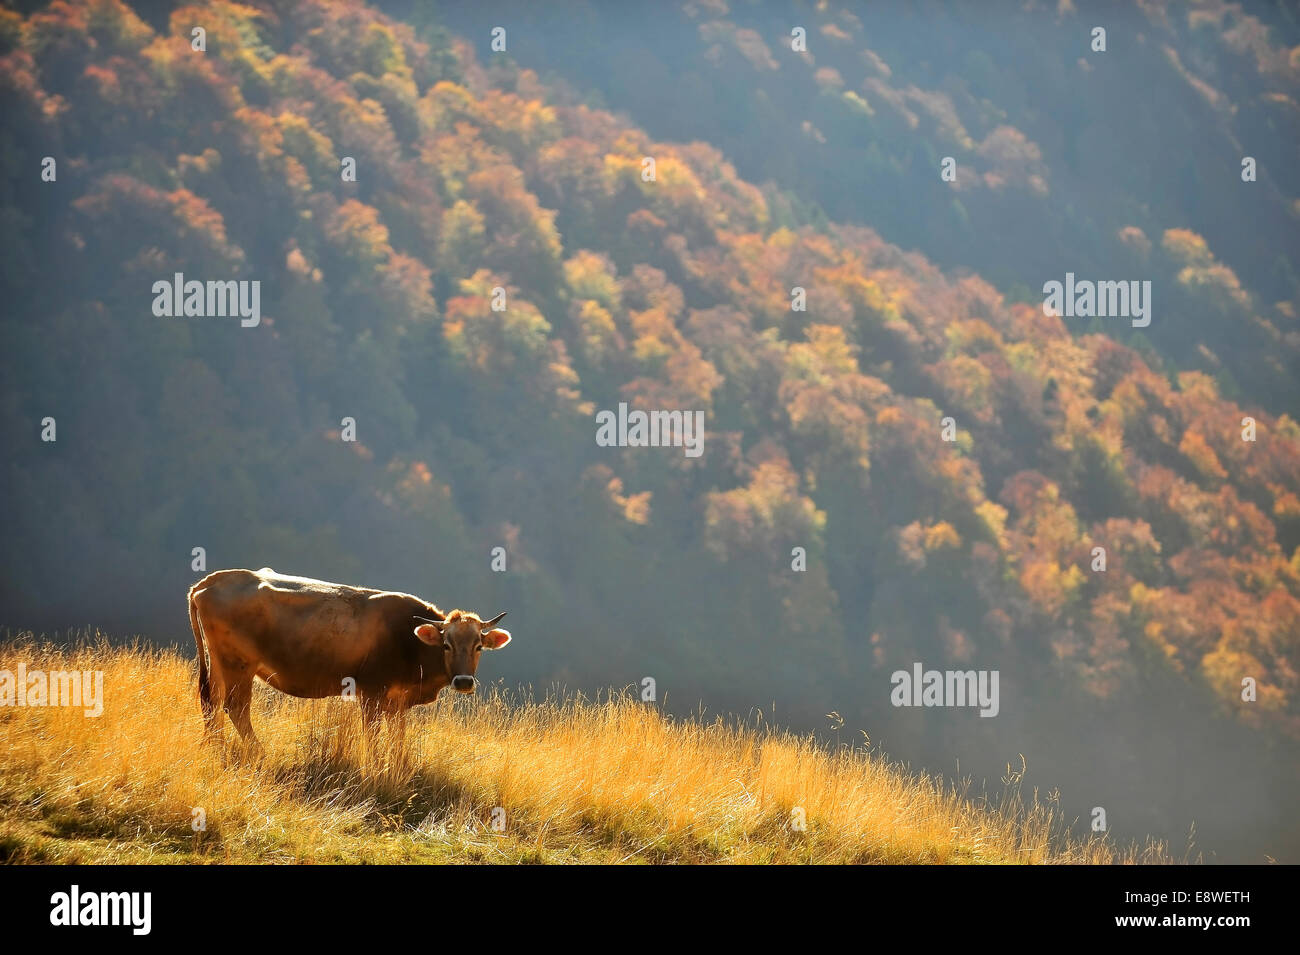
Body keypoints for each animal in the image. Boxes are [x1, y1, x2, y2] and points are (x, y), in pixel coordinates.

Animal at [187, 567, 511, 753]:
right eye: (446, 644)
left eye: (479, 646)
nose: (464, 681)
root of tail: (209, 581)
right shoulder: (371, 693)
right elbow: (373, 738)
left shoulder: (398, 701)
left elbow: (398, 740)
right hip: (238, 663)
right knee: (235, 706)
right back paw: (258, 752)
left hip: (218, 662)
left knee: (211, 701)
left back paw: (214, 748)